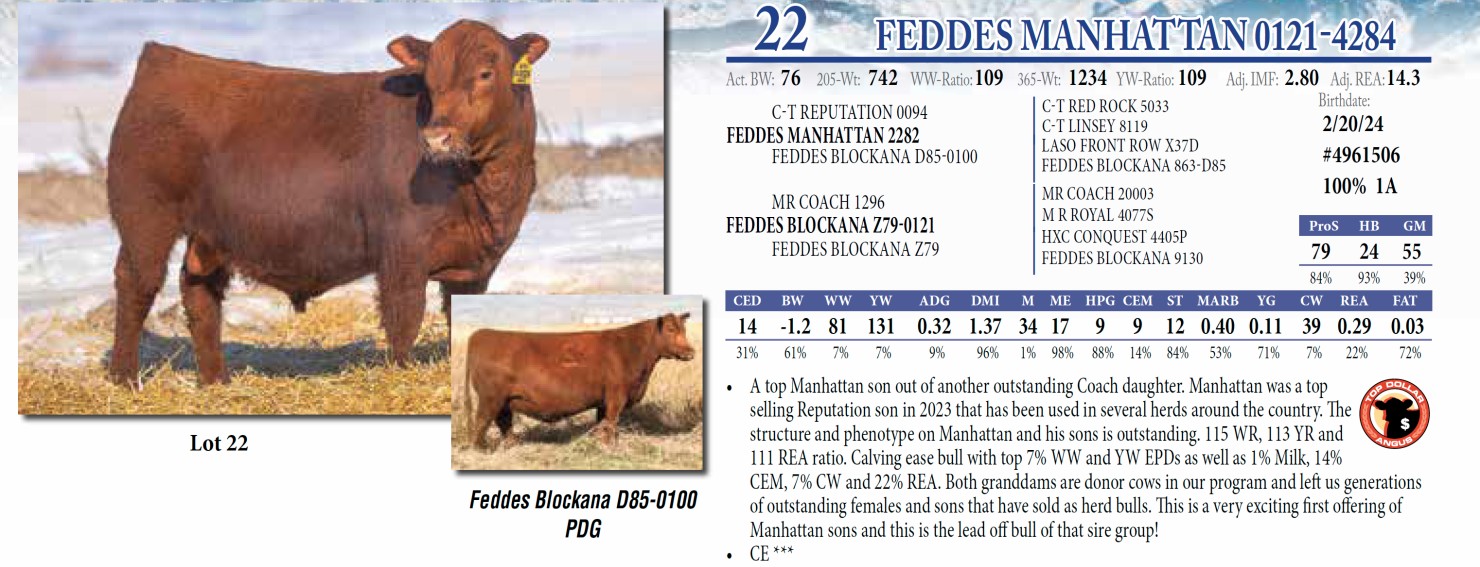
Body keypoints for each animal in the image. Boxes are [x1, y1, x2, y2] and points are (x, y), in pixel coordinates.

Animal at [105, 20, 550, 389]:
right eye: (430, 80)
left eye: (486, 73)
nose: (436, 137)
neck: (485, 189)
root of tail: (167, 57)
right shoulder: (402, 255)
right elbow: (404, 320)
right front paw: (401, 375)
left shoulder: (475, 267)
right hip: (146, 218)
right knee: (137, 283)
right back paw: (125, 379)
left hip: (209, 233)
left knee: (199, 293)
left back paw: (216, 381)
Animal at [462, 312, 696, 451]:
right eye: (670, 329)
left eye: (683, 329)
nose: (690, 352)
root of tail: (481, 334)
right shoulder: (616, 396)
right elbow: (611, 422)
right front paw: (610, 447)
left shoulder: (604, 400)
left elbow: (602, 422)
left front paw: (601, 444)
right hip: (490, 398)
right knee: (482, 421)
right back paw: (480, 450)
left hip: (504, 401)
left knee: (504, 422)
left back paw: (512, 445)